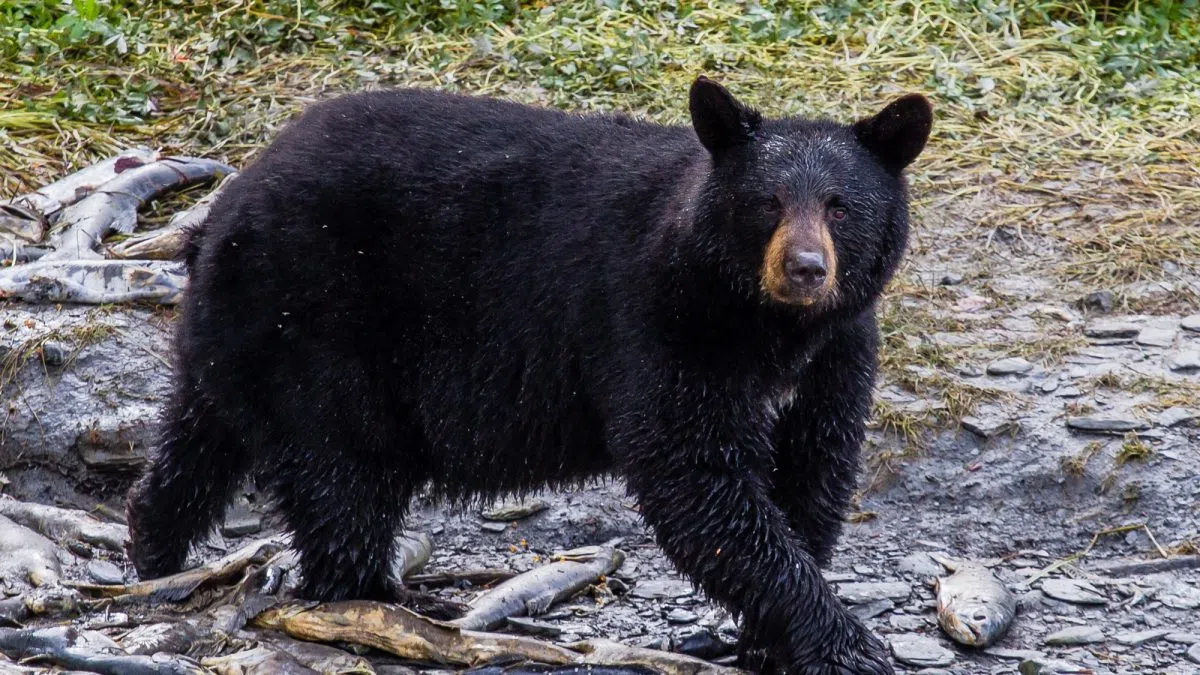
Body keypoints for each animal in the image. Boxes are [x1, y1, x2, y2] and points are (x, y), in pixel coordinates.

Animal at [125, 76, 931, 675]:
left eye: (841, 206)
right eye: (766, 202)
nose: (806, 269)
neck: (768, 327)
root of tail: (224, 207)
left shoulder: (837, 354)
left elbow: (814, 471)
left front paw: (777, 639)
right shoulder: (659, 322)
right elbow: (698, 479)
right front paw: (843, 642)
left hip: (242, 336)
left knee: (200, 438)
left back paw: (154, 548)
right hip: (318, 324)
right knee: (341, 474)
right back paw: (386, 600)